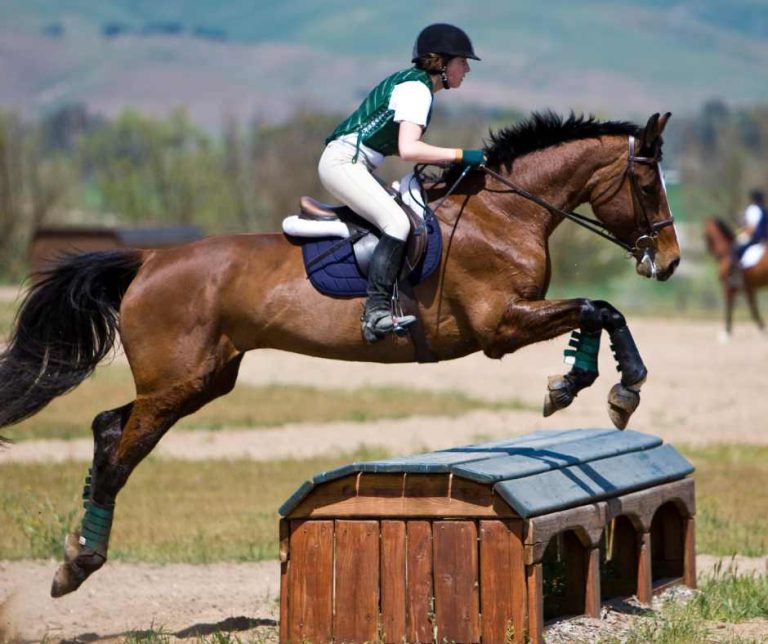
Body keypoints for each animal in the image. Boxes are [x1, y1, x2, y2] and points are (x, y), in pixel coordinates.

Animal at [0, 111, 679, 597]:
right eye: (647, 184)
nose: (670, 262)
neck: (501, 212)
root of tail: (148, 259)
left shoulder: (515, 318)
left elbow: (598, 310)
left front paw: (590, 386)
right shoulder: (499, 327)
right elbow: (599, 309)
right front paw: (615, 388)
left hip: (201, 380)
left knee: (107, 426)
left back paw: (78, 551)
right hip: (176, 382)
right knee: (121, 451)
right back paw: (78, 564)